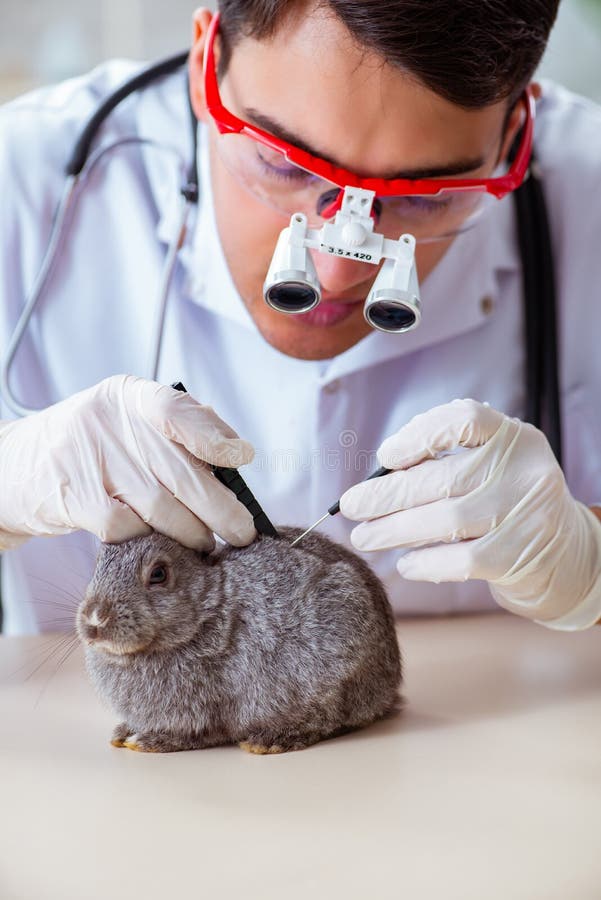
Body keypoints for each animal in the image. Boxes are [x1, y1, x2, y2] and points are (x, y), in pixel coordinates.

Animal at [76, 526, 402, 754]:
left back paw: (271, 740)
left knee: (328, 717)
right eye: (97, 566)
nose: (94, 620)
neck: (203, 612)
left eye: (158, 574)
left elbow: (199, 732)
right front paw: (123, 732)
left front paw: (145, 740)